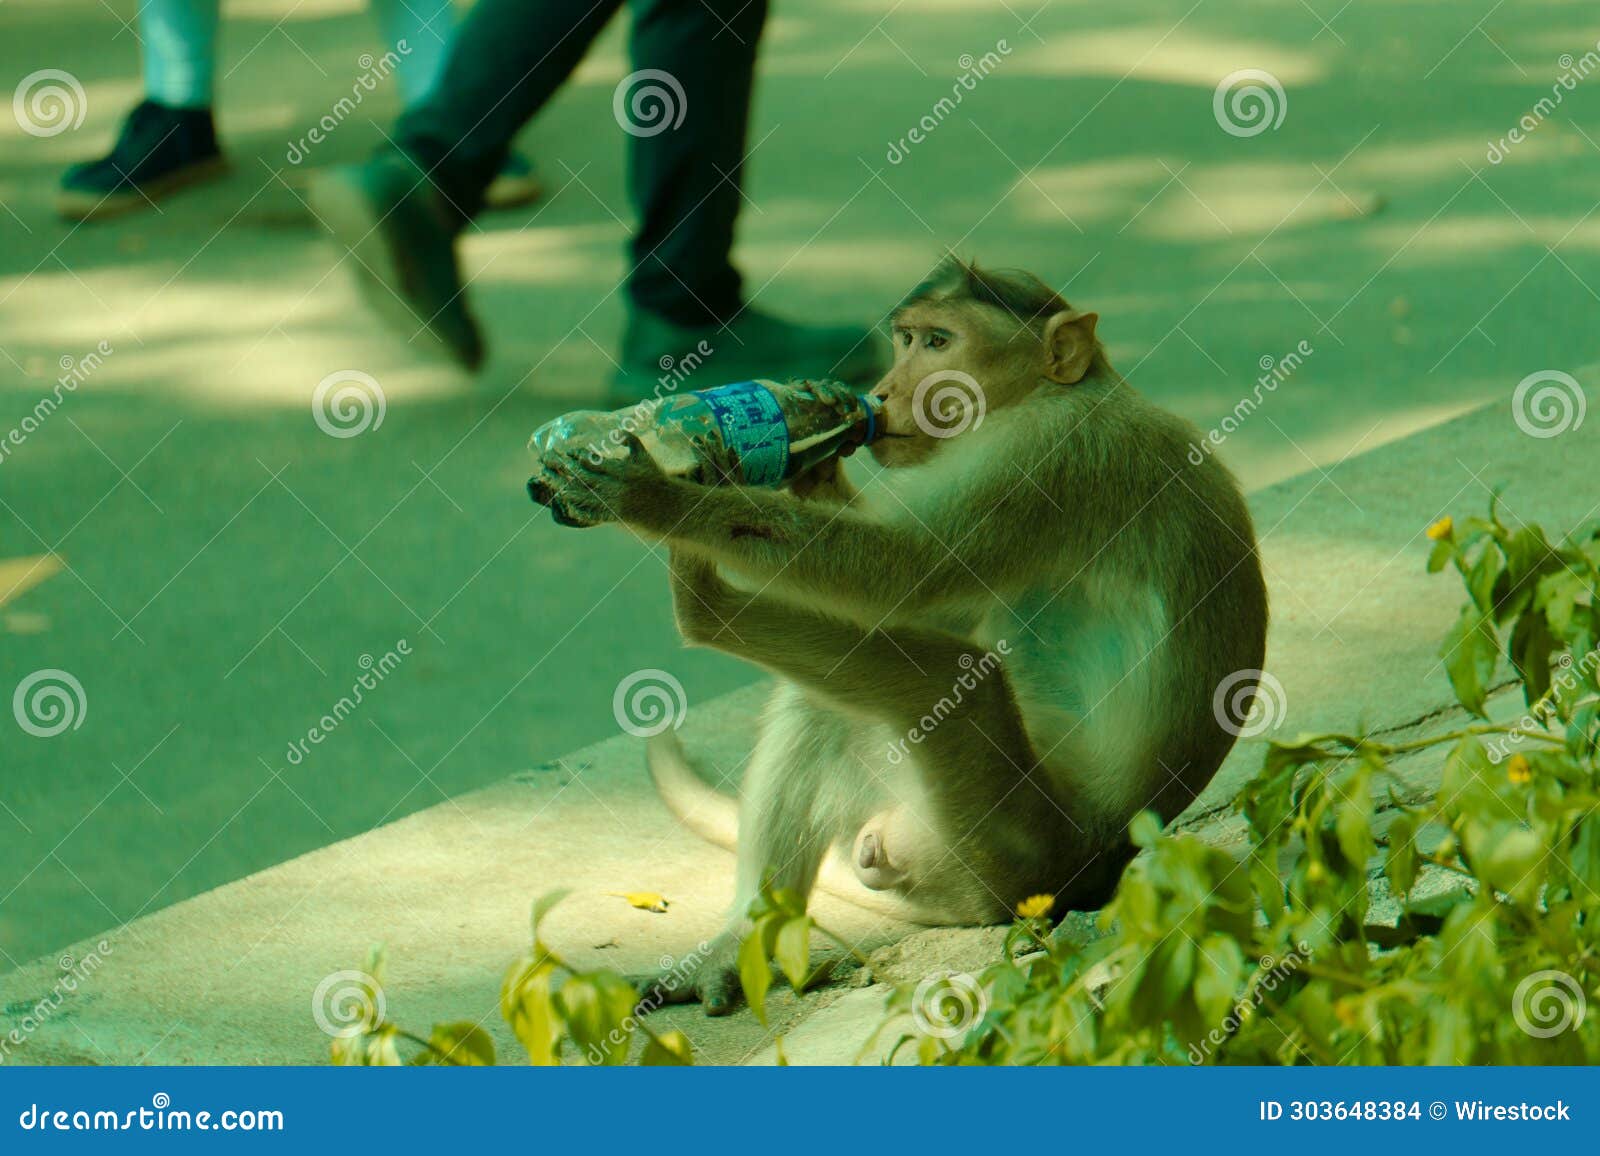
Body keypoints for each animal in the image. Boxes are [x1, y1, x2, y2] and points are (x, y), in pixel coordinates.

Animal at [543, 258, 1269, 1015]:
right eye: (907, 340)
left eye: (939, 342)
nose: (883, 392)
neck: (1066, 389)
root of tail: (1095, 868)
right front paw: (814, 451)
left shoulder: (1053, 447)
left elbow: (901, 571)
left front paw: (655, 496)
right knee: (827, 705)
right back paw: (739, 940)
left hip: (1011, 846)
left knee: (947, 677)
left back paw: (703, 602)